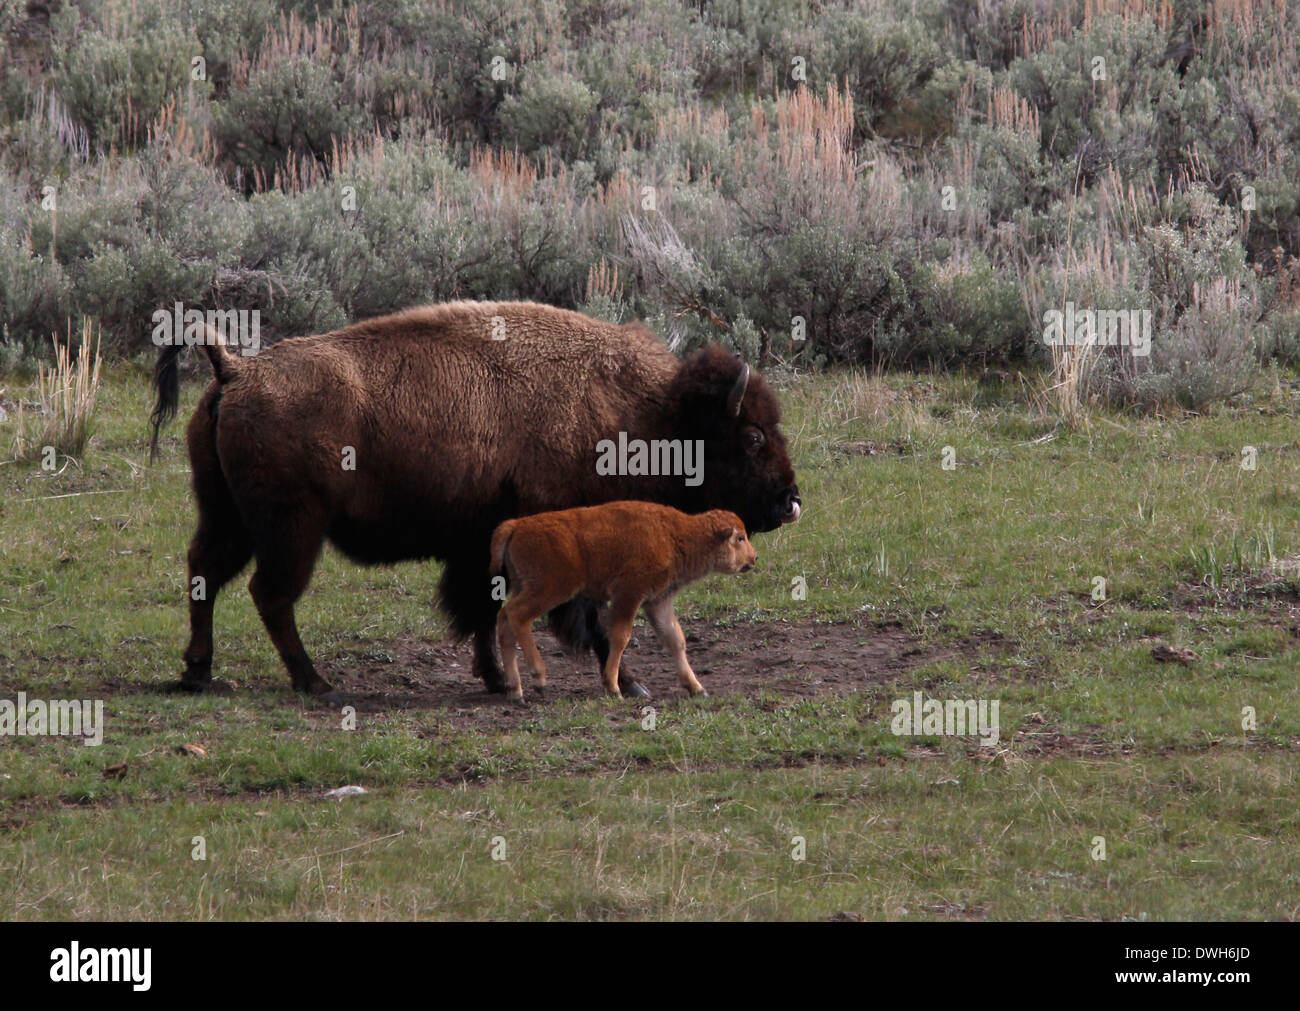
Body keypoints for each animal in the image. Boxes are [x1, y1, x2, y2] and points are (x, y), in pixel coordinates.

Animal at [149, 300, 801, 699]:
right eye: (752, 437)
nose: (790, 502)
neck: (643, 414)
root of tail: (235, 371)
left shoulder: (478, 549)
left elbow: (484, 611)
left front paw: (495, 679)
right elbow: (582, 616)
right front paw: (629, 683)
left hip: (228, 516)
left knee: (206, 574)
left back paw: (200, 673)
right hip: (292, 529)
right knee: (271, 594)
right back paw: (315, 683)